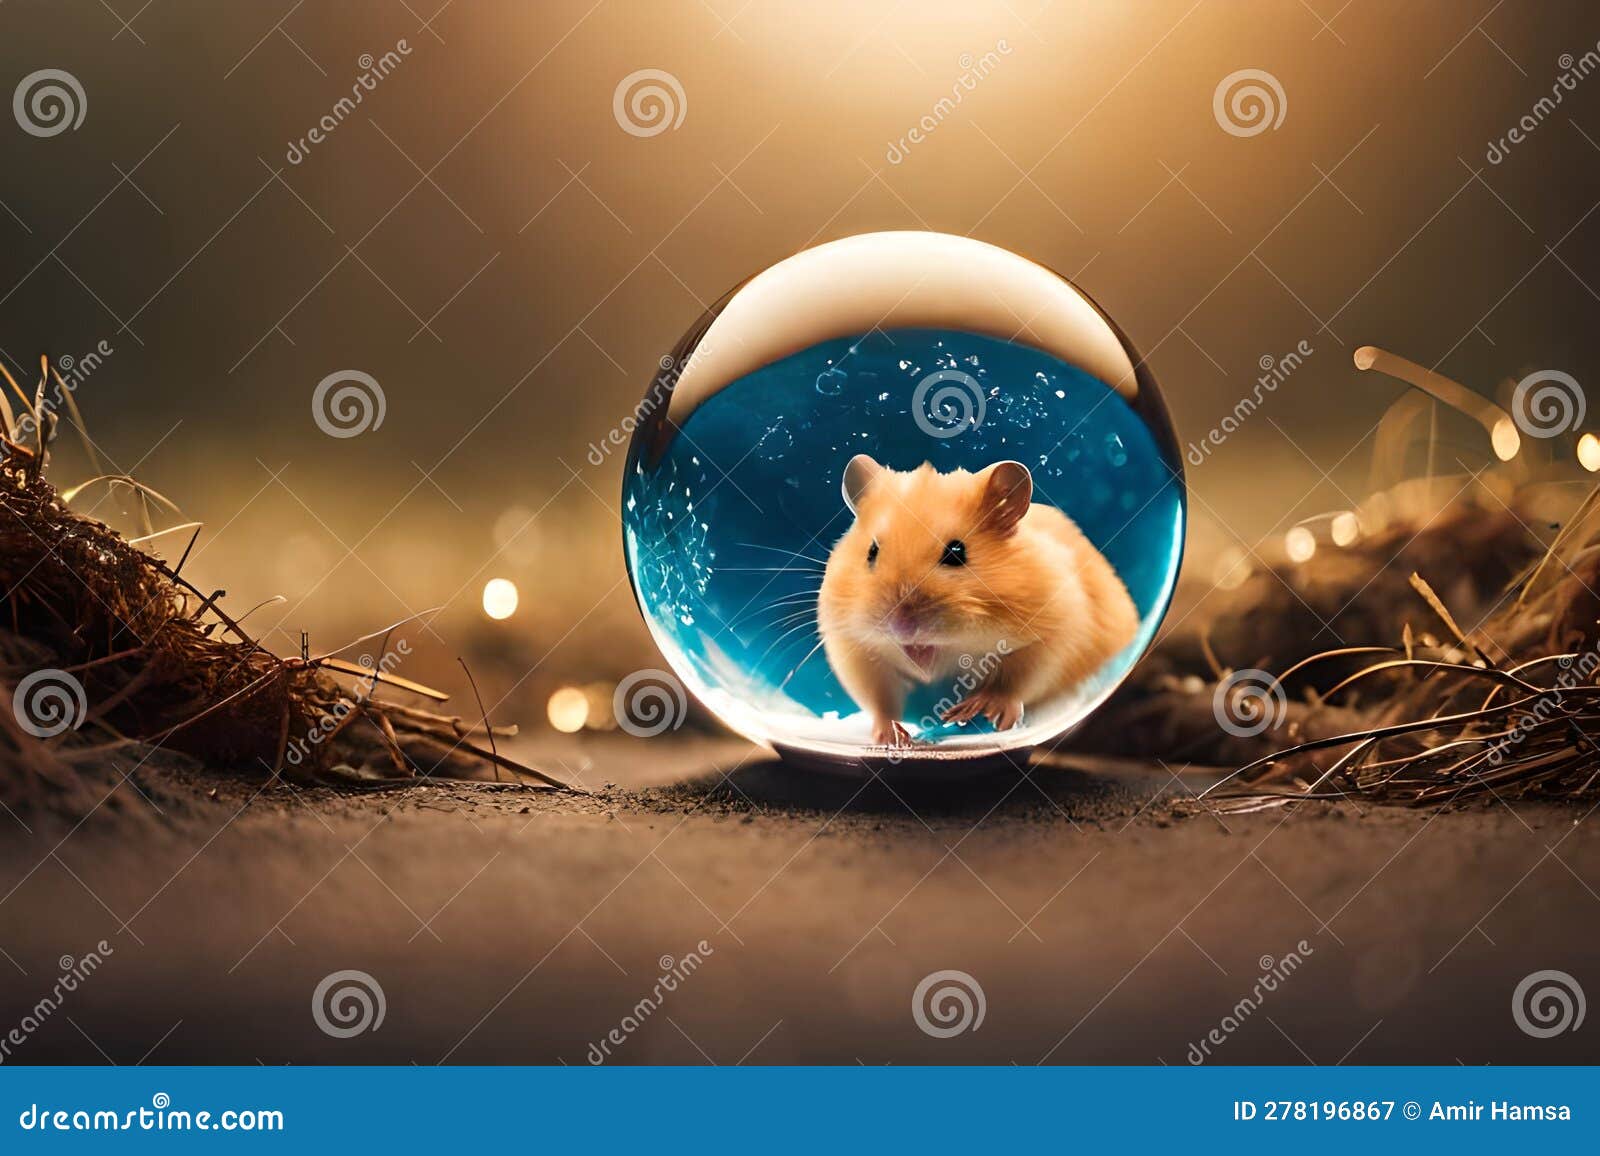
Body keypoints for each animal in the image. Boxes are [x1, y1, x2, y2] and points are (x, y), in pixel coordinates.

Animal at [816, 454, 1140, 747]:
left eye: (956, 552)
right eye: (872, 552)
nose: (901, 627)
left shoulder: (1057, 633)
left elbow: (1016, 681)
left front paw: (975, 710)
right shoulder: (855, 651)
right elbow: (880, 700)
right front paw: (892, 739)